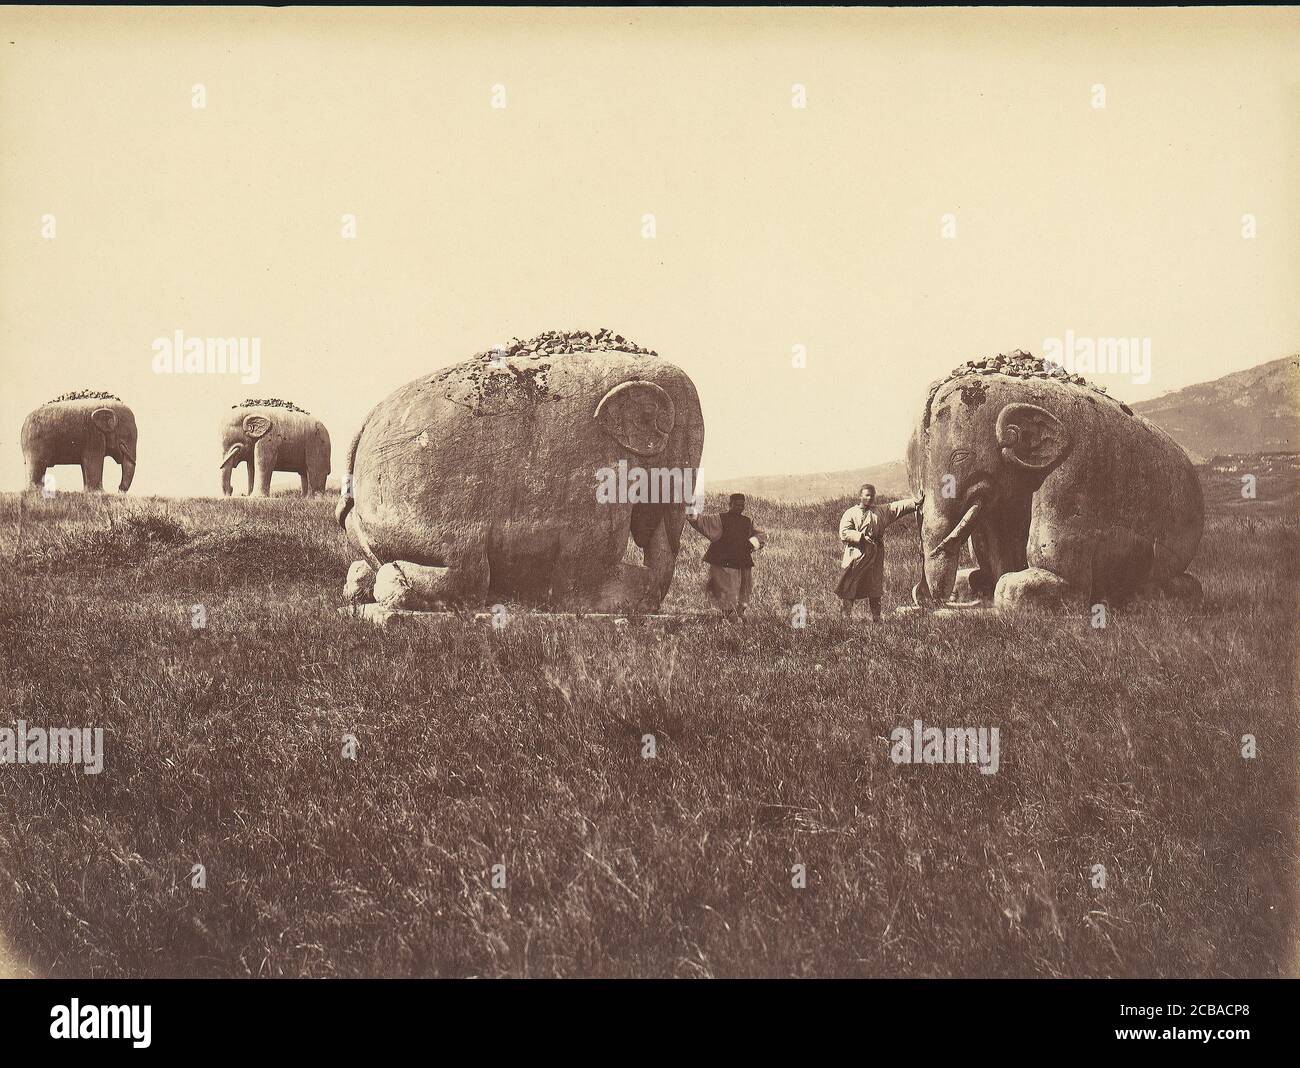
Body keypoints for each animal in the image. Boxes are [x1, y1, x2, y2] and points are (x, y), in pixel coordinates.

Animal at [336, 330, 705, 613]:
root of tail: (365, 425)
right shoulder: (594, 479)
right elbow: (580, 584)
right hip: (417, 511)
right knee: (467, 571)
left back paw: (362, 583)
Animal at [907, 351, 1203, 611]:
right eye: (914, 472)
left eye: (960, 456)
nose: (925, 597)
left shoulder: (1074, 471)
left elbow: (1050, 577)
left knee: (1167, 581)